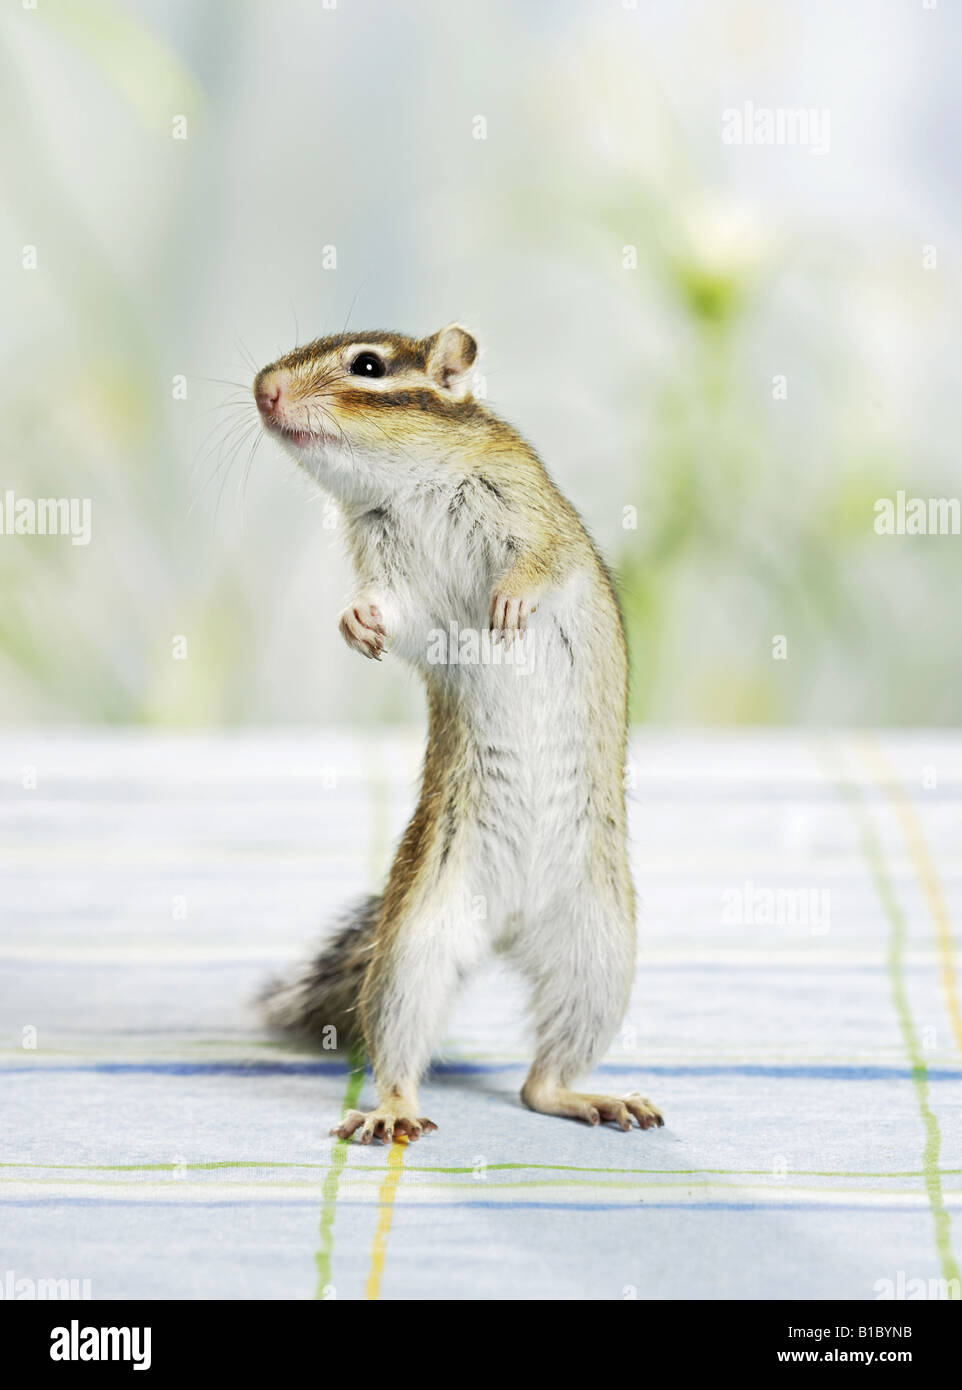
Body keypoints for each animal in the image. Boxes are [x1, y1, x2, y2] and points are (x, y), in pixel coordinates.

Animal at [253, 323, 663, 1143]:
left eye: (368, 365)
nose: (262, 390)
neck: (411, 490)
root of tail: (508, 926)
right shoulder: (389, 571)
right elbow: (393, 613)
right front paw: (354, 623)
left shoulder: (530, 506)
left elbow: (546, 561)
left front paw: (513, 599)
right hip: (415, 943)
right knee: (412, 1049)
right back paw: (393, 1111)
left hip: (600, 952)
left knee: (542, 1078)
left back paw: (590, 1096)